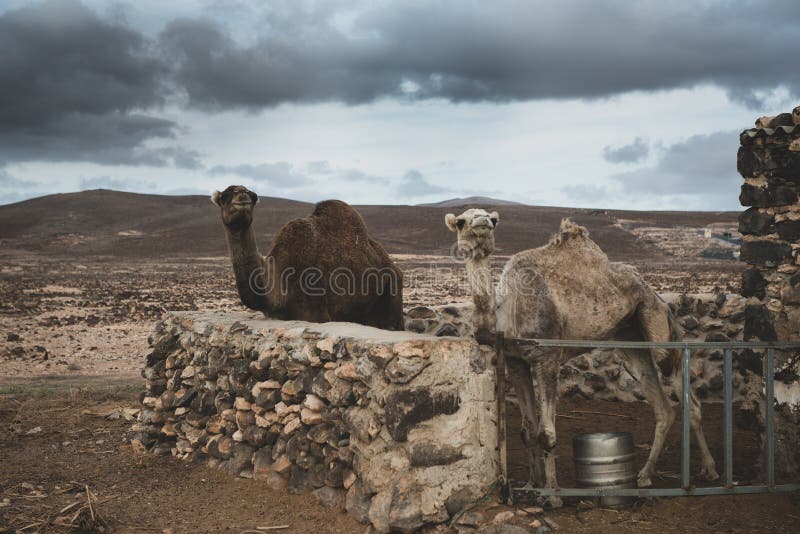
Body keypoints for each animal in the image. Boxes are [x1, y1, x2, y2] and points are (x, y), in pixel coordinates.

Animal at [213, 185, 404, 330]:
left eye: (251, 195)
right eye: (225, 196)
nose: (242, 196)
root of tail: (394, 266)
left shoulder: (315, 311)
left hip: (391, 291)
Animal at [445, 209, 719, 506]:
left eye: (492, 220)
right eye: (461, 221)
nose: (482, 220)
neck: (509, 311)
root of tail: (655, 294)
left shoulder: (547, 356)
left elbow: (546, 434)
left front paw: (552, 496)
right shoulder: (516, 361)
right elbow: (527, 432)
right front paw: (532, 485)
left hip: (656, 325)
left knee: (686, 395)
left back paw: (709, 471)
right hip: (629, 338)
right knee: (663, 407)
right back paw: (646, 476)